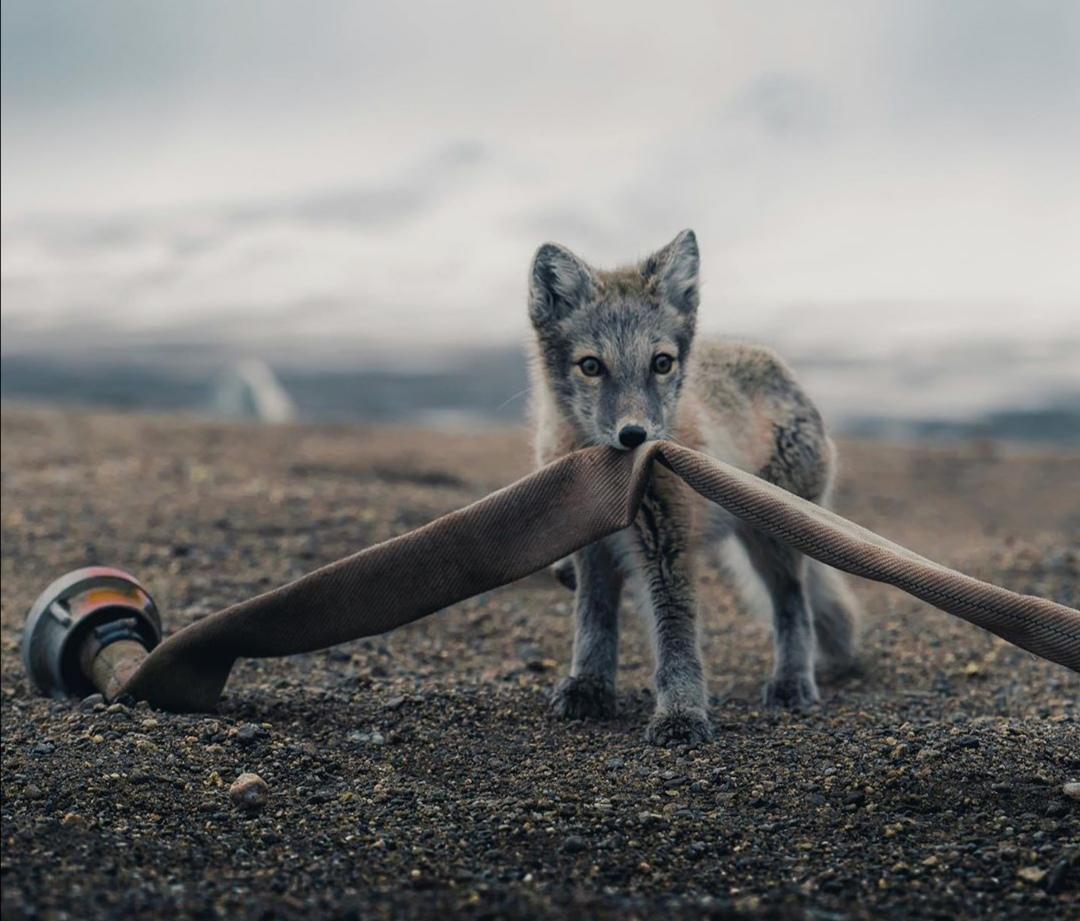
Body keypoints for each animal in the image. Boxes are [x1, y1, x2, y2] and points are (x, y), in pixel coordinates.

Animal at [528, 229, 860, 745]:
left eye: (661, 363)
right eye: (591, 366)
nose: (635, 435)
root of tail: (783, 371)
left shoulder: (668, 548)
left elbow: (676, 639)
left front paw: (681, 714)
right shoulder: (593, 548)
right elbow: (593, 621)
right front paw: (589, 686)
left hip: (772, 543)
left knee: (794, 604)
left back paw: (791, 682)